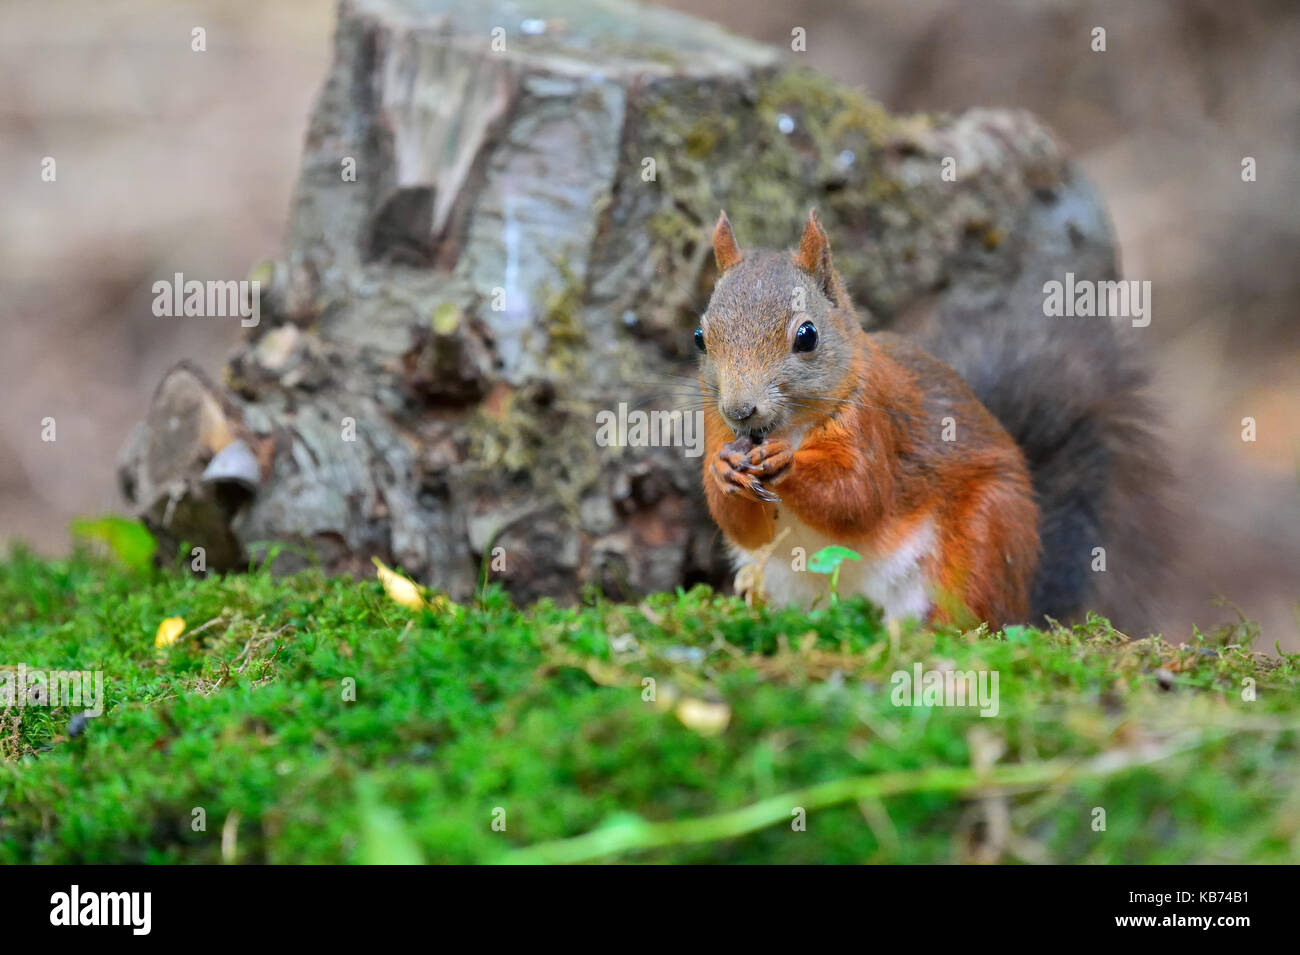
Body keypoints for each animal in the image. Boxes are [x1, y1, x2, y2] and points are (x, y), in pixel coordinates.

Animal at [698, 209, 1170, 631]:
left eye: (807, 335)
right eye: (701, 337)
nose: (740, 410)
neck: (788, 430)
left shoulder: (877, 428)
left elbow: (858, 498)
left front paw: (787, 462)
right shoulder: (715, 428)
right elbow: (743, 527)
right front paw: (724, 470)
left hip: (985, 533)